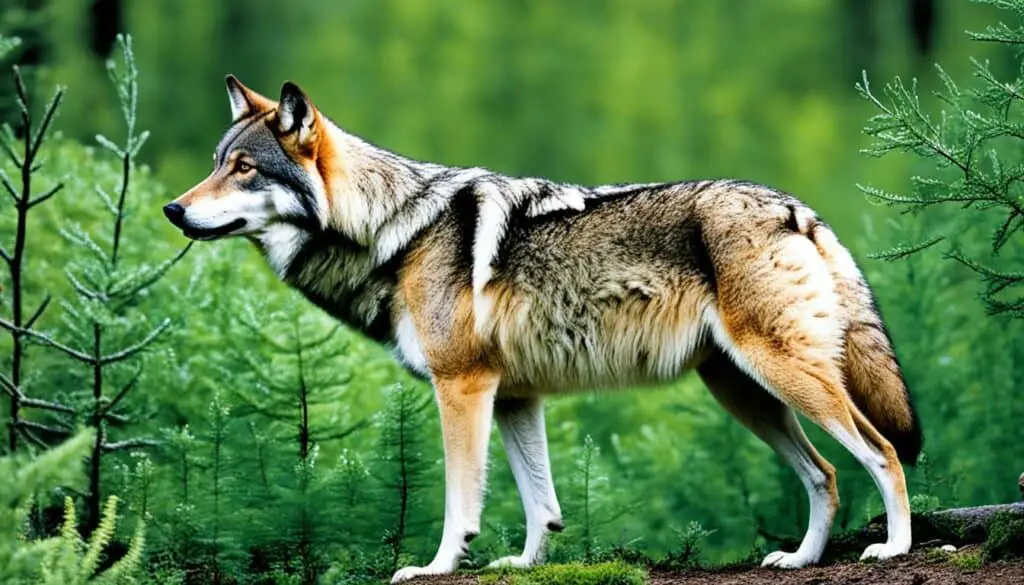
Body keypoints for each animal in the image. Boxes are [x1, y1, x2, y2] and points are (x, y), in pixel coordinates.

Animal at [164, 77, 922, 582]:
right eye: (216, 162)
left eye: (244, 169)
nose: (173, 208)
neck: (393, 232)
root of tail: (794, 208)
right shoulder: (515, 396)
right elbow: (543, 504)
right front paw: (525, 563)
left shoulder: (462, 387)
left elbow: (460, 500)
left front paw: (437, 566)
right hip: (746, 394)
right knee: (825, 473)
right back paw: (800, 557)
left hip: (783, 378)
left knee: (882, 452)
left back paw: (894, 547)